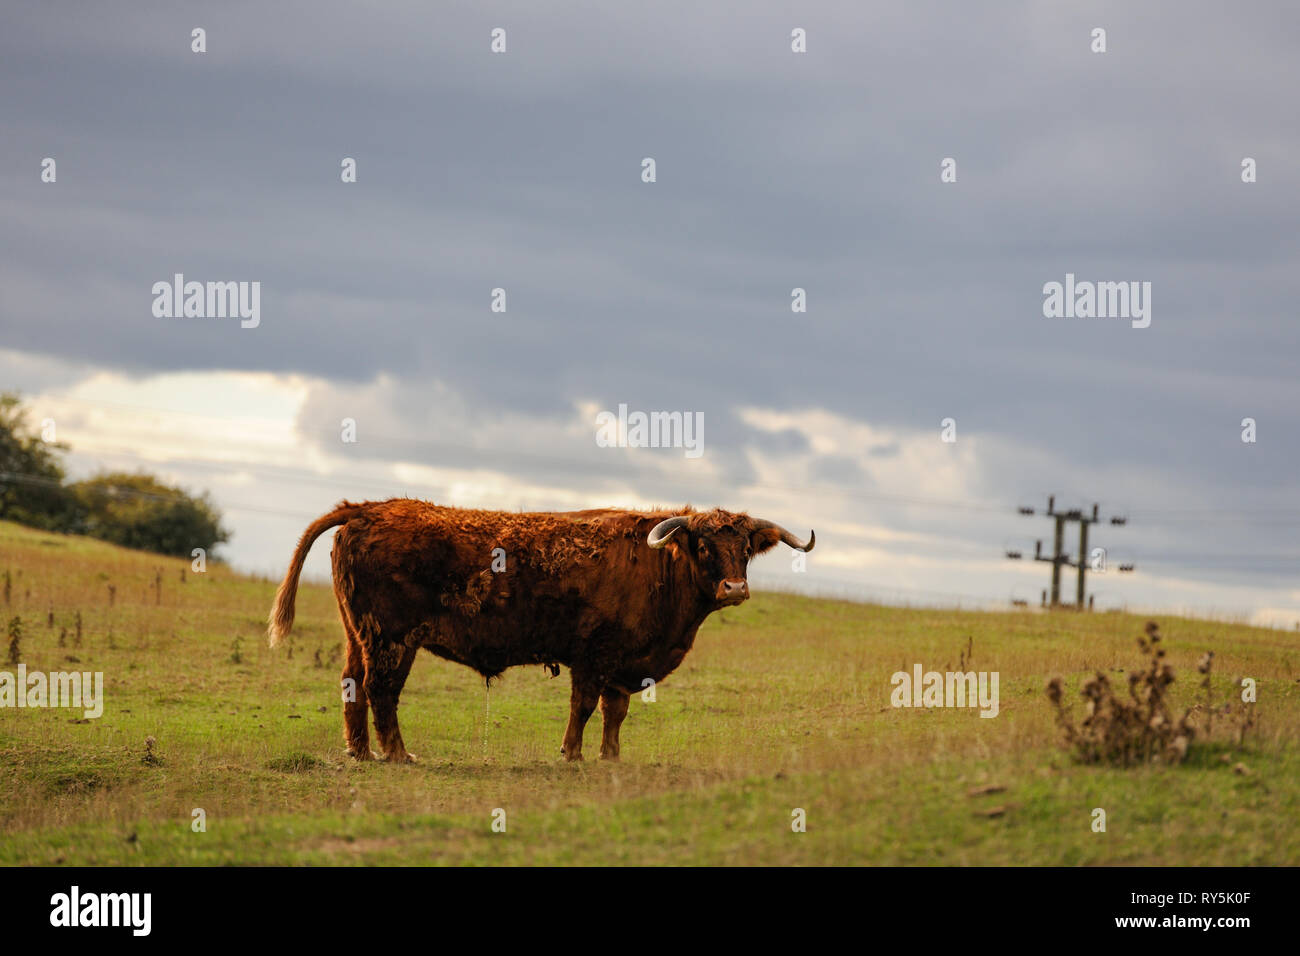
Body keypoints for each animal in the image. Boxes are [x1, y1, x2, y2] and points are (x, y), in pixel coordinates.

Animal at [267, 499, 814, 763]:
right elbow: (585, 707)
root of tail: (372, 508)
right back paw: (398, 755)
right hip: (392, 641)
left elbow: (616, 713)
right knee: (382, 692)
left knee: (353, 685)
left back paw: (359, 752)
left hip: (360, 636)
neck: (656, 565)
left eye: (746, 547)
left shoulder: (625, 663)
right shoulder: (593, 657)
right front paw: (571, 753)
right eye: (702, 544)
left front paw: (611, 756)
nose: (734, 587)